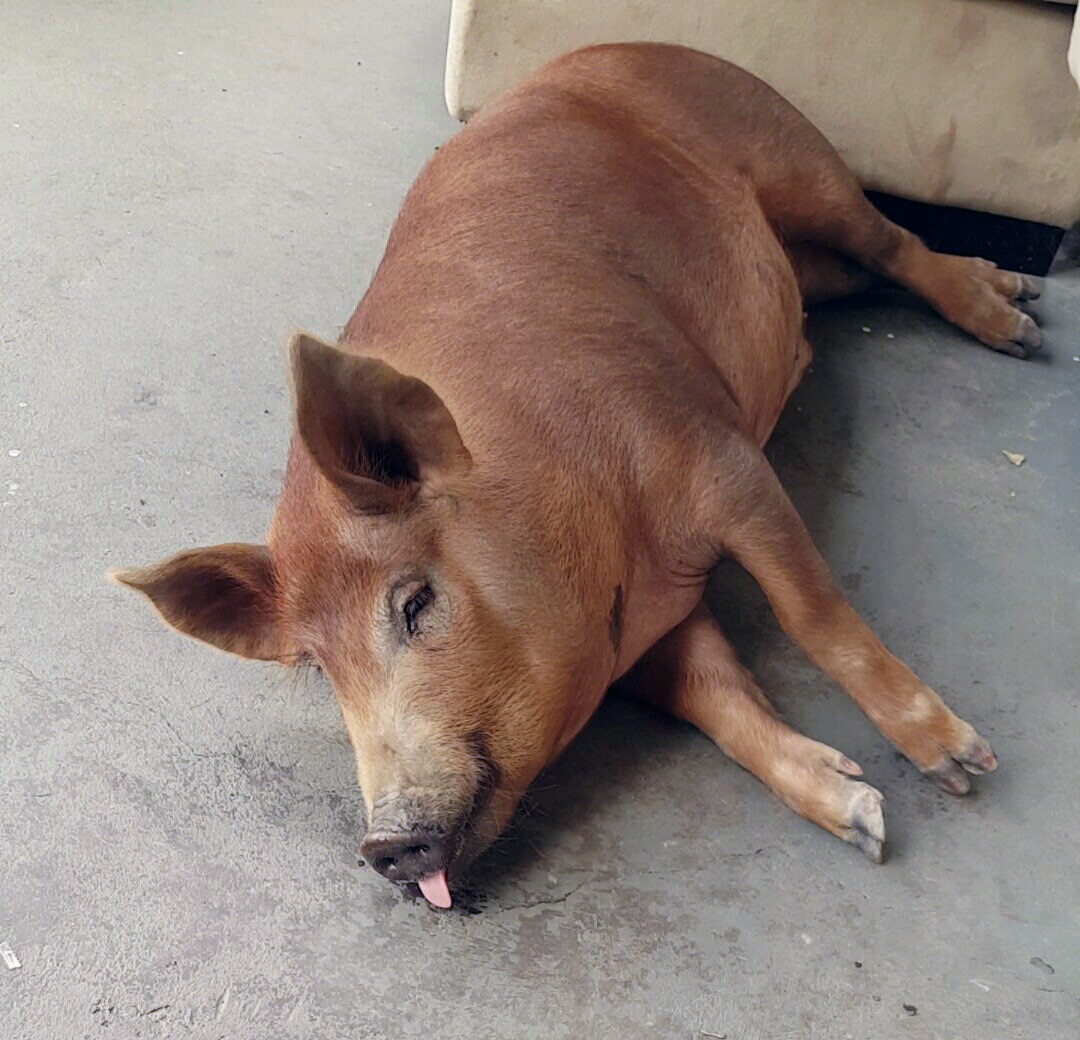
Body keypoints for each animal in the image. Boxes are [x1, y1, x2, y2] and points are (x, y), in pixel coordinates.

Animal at [115, 44, 1039, 909]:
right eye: (316, 667)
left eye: (414, 603)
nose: (381, 845)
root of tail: (632, 45)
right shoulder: (656, 624)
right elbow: (715, 696)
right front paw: (862, 818)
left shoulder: (718, 456)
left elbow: (810, 612)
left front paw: (962, 766)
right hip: (806, 252)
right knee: (860, 276)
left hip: (799, 157)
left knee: (893, 240)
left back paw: (1021, 327)